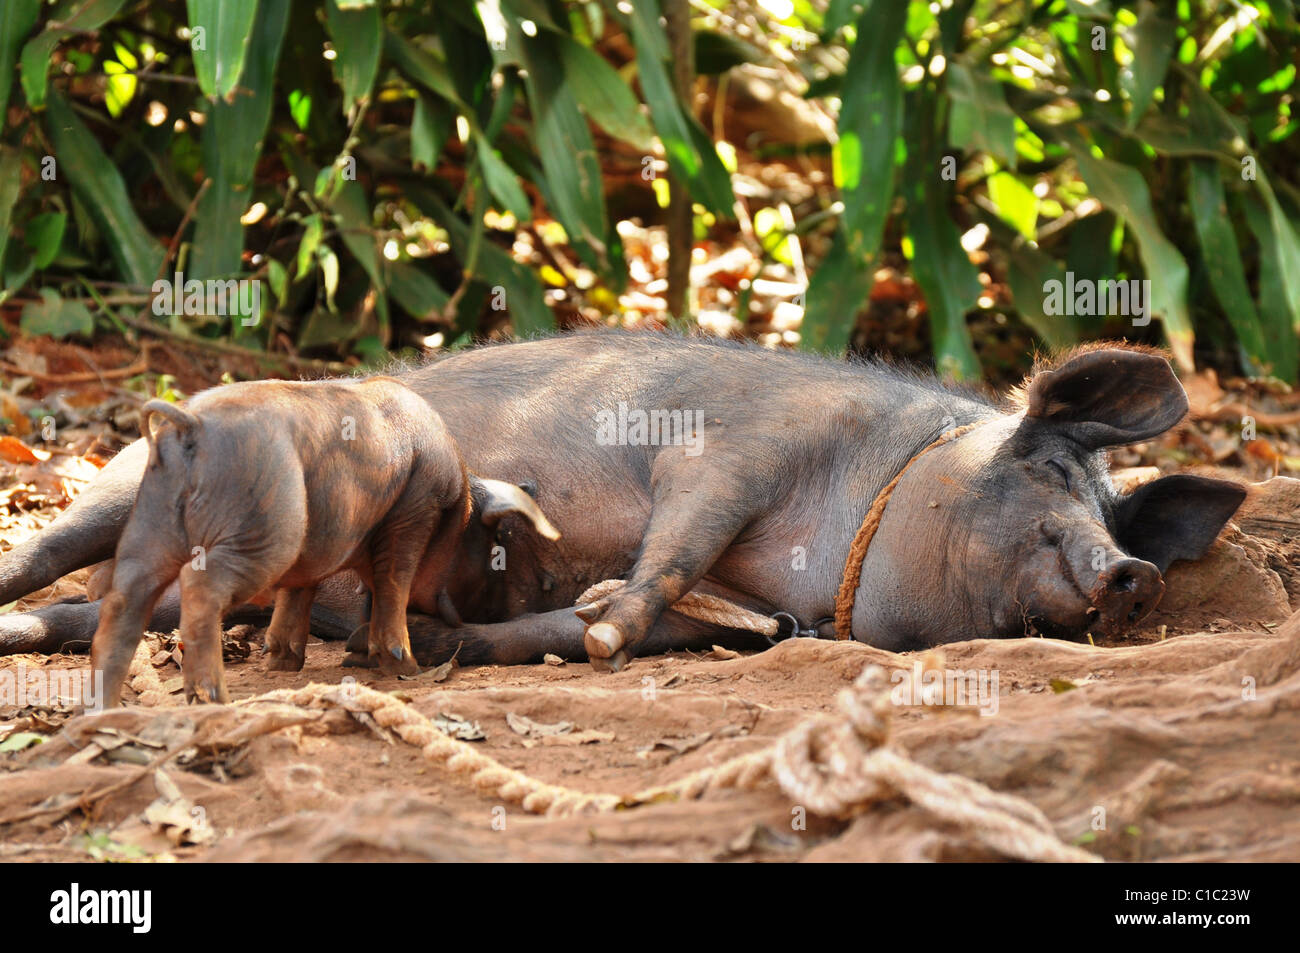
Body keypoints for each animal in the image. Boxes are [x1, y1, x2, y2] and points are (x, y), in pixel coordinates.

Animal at [0, 332, 1245, 674]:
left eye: (1113, 512)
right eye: (1048, 469)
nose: (1132, 570)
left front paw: (559, 629)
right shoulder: (726, 453)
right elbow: (677, 548)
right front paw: (605, 625)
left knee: (108, 605)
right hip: (122, 484)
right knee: (50, 555)